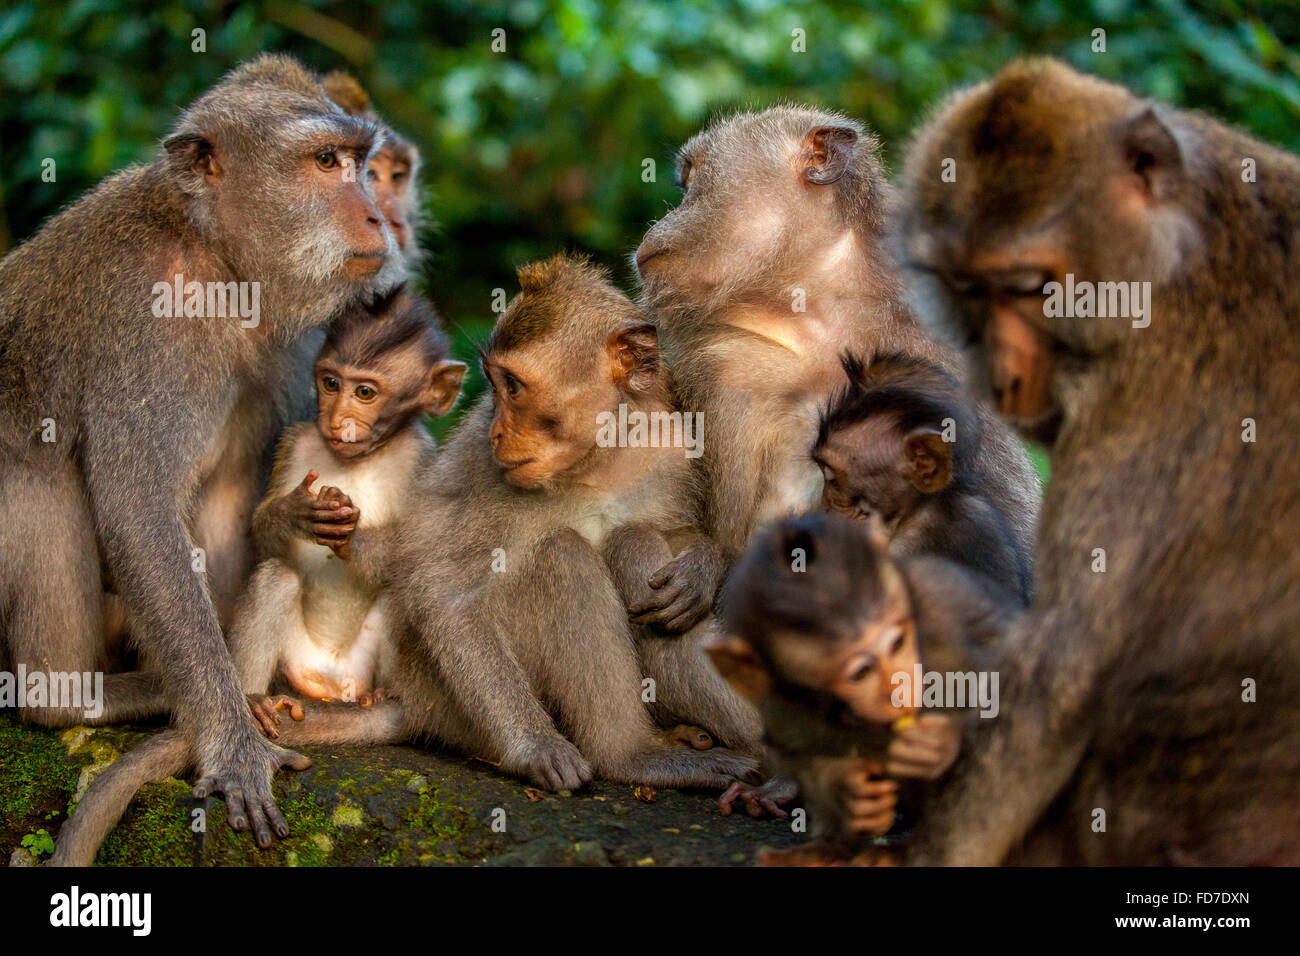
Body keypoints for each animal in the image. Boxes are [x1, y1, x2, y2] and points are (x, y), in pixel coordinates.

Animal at [1, 54, 396, 852]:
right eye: (326, 162)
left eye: (359, 163)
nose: (375, 216)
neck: (218, 263)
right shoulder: (145, 323)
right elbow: (139, 510)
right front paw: (230, 739)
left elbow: (230, 494)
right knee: (39, 467)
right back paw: (75, 699)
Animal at [228, 288, 466, 718]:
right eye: (331, 383)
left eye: (365, 392)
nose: (338, 420)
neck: (360, 458)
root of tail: (329, 681)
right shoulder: (296, 439)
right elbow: (261, 538)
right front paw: (295, 514)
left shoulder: (424, 459)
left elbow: (421, 551)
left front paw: (351, 539)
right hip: (295, 662)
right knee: (276, 577)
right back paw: (257, 702)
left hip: (361, 666)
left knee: (398, 596)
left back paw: (377, 695)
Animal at [708, 511, 1016, 864]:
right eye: (861, 673)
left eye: (897, 643)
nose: (899, 687)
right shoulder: (778, 688)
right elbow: (791, 744)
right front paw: (849, 790)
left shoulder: (943, 593)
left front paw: (941, 742)